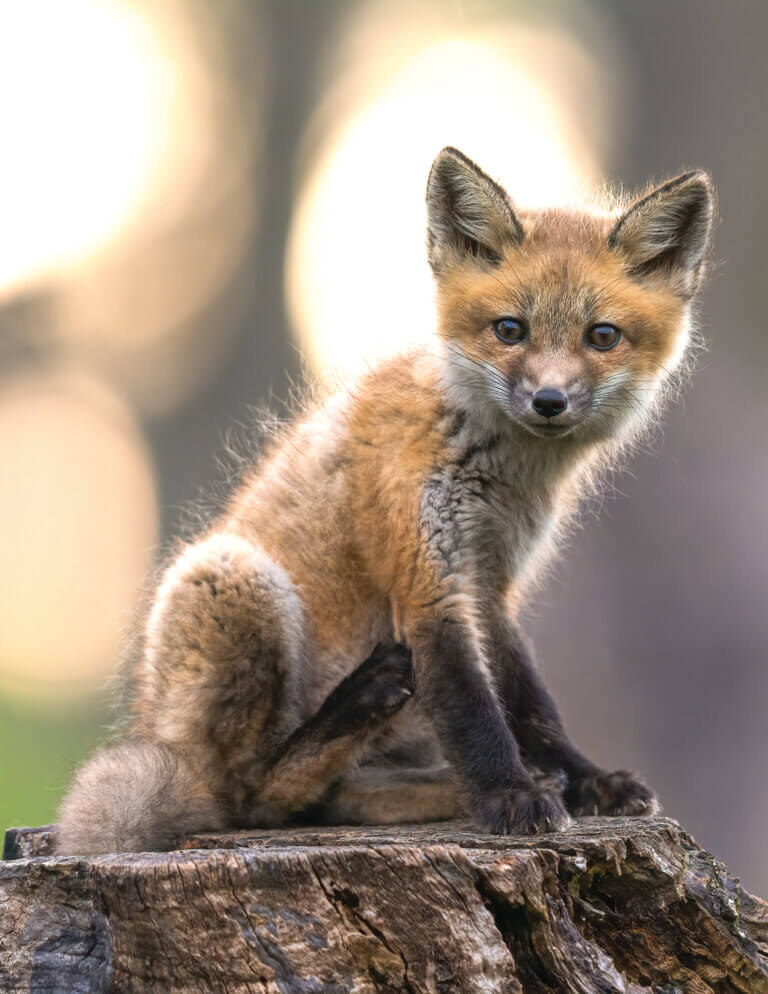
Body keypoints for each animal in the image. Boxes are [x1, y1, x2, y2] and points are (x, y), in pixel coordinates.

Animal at [57, 147, 715, 855]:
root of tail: (160, 734)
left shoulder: (491, 585)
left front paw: (585, 781)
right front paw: (511, 797)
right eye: (510, 330)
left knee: (336, 800)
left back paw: (446, 788)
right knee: (255, 799)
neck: (495, 470)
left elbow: (533, 708)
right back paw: (358, 713)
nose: (549, 401)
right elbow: (476, 711)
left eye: (602, 337)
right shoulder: (429, 582)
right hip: (231, 575)